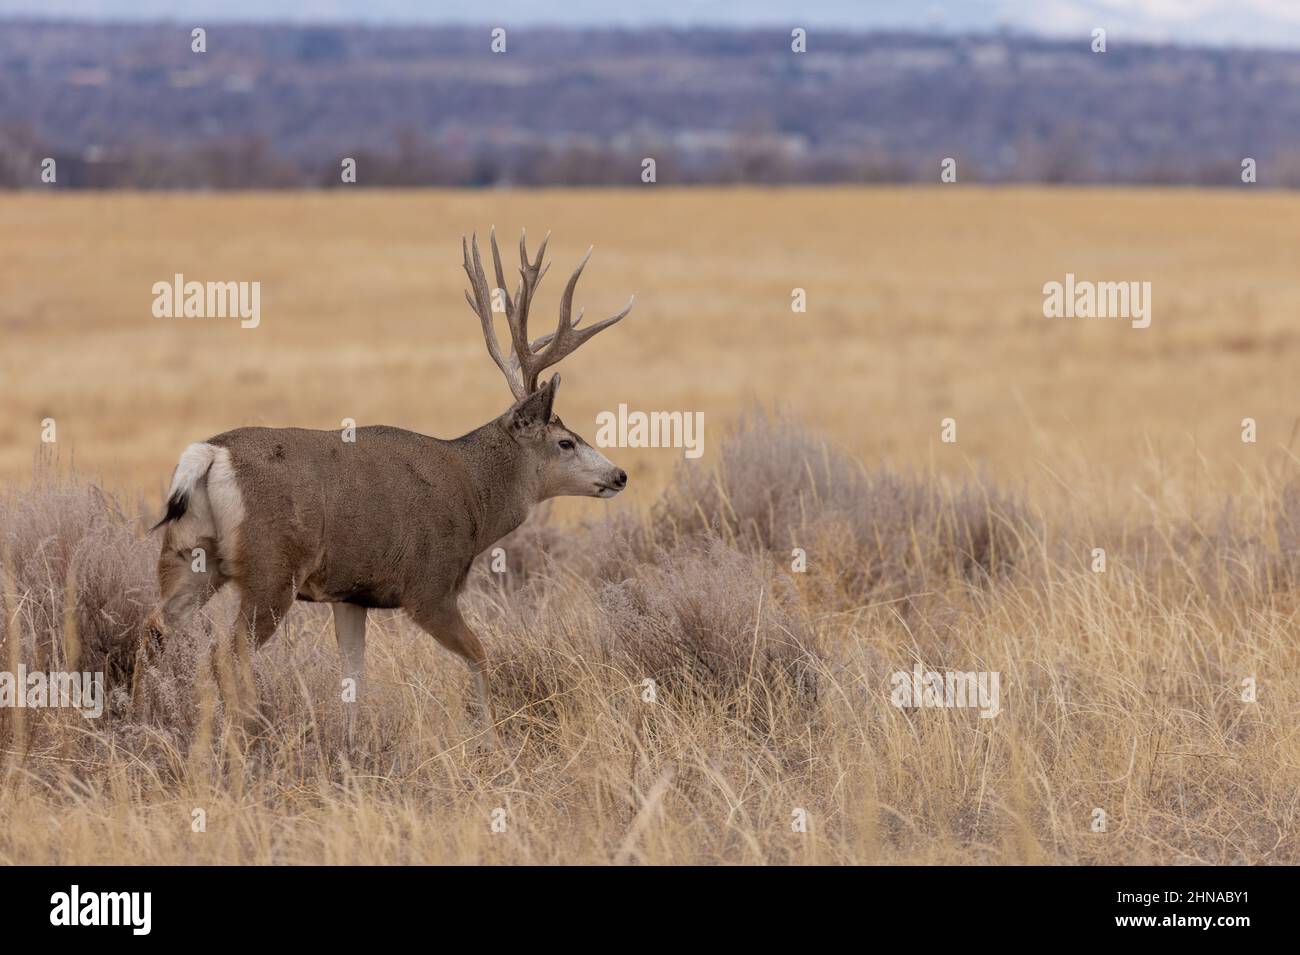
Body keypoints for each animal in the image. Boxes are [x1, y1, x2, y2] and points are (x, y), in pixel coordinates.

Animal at [144, 228, 633, 744]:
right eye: (565, 442)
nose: (619, 475)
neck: (474, 495)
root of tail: (210, 454)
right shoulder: (429, 586)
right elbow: (481, 656)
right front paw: (491, 738)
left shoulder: (351, 594)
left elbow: (353, 677)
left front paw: (350, 745)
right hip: (270, 569)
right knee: (226, 649)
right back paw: (246, 733)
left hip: (189, 555)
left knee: (154, 627)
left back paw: (144, 715)